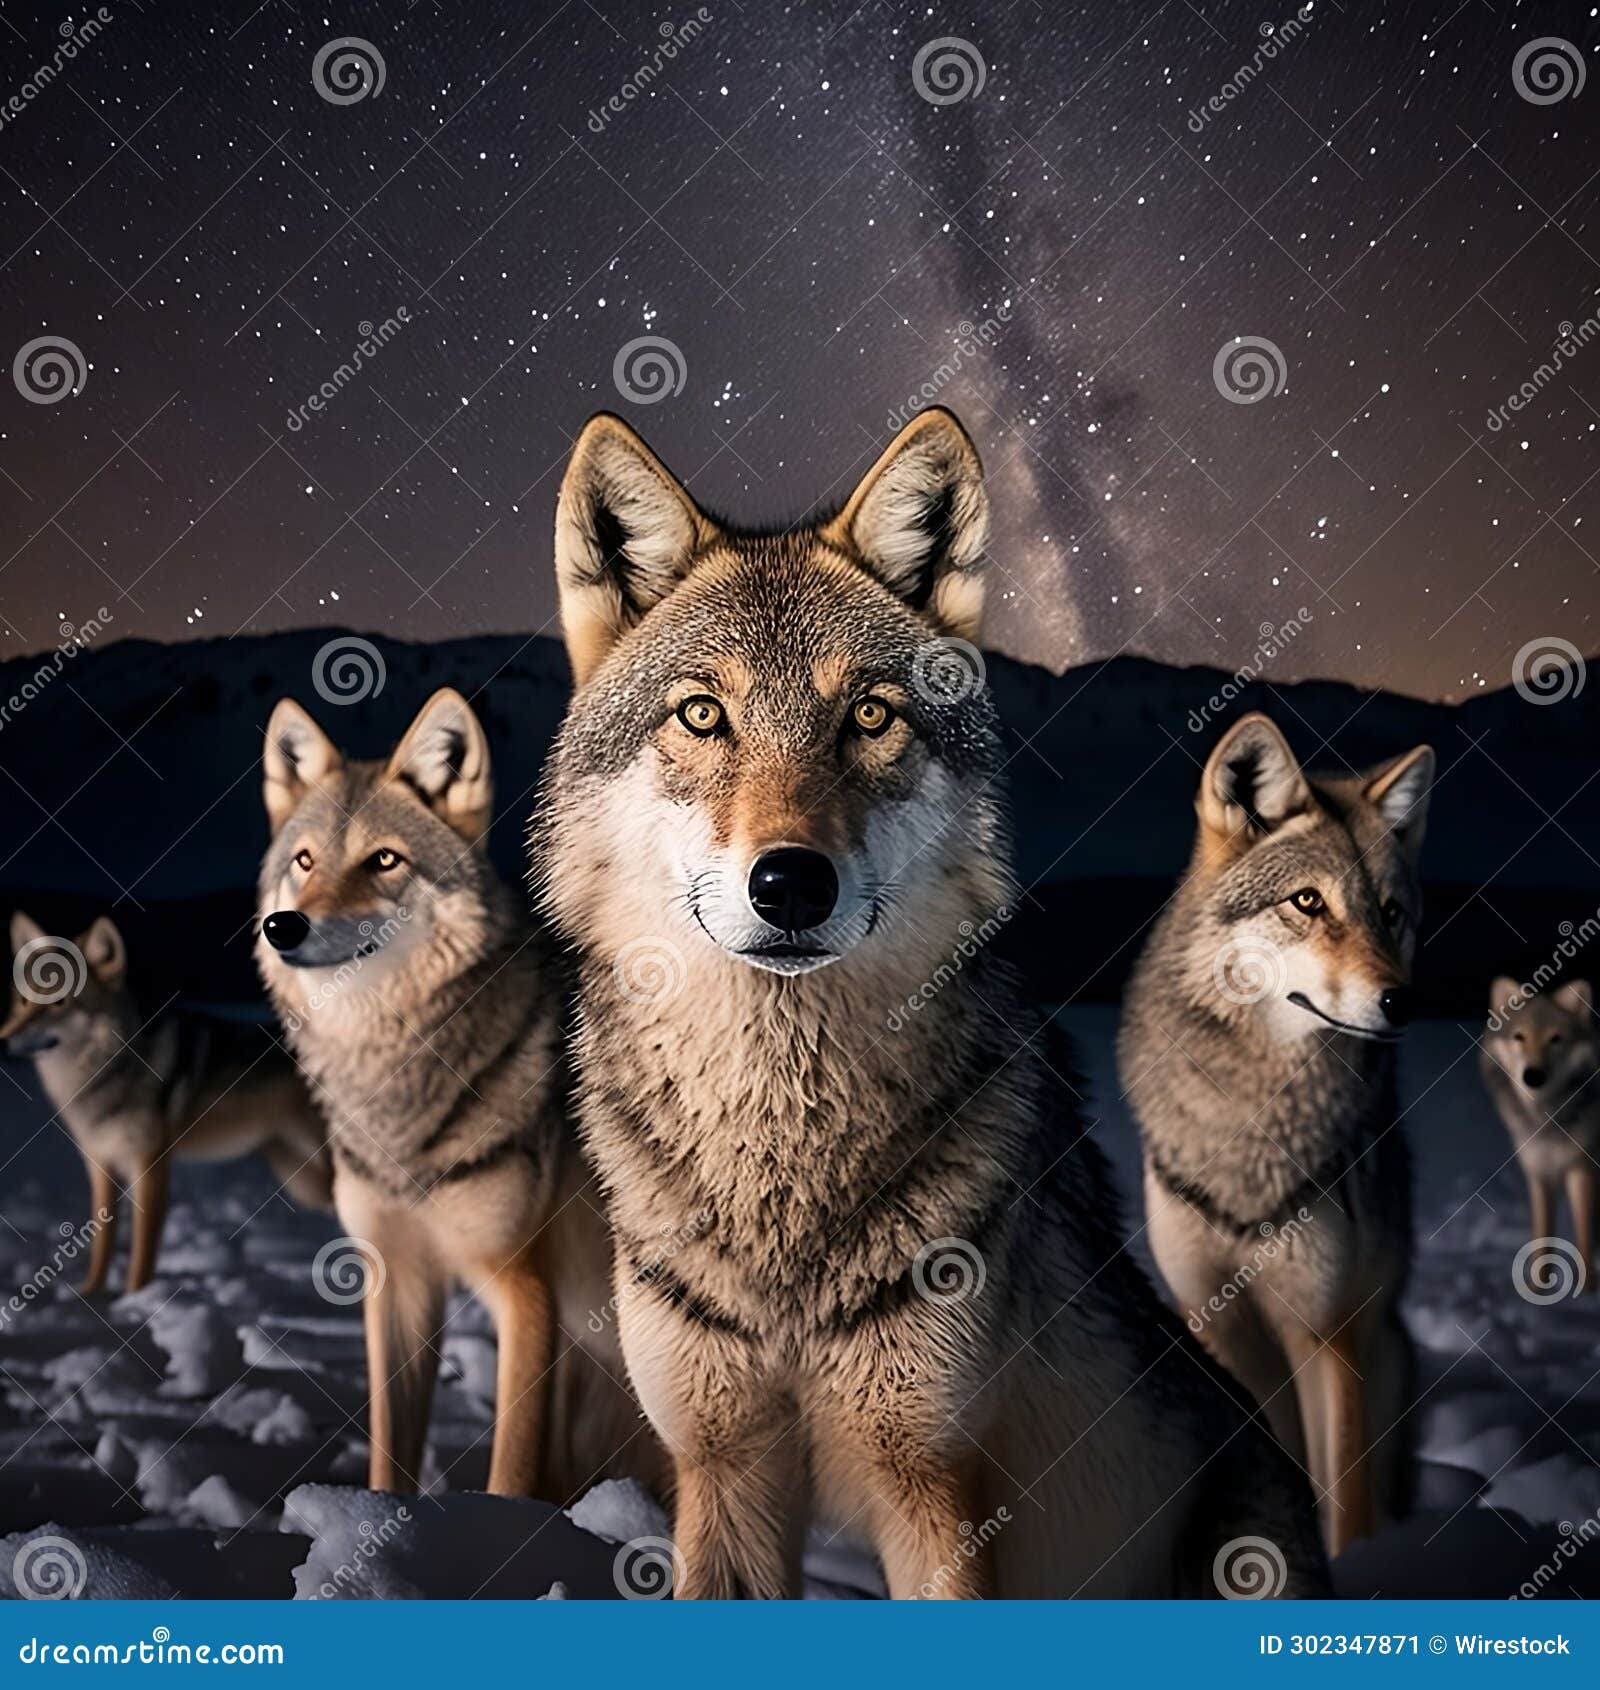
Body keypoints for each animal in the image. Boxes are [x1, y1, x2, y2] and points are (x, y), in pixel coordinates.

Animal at [1, 911, 331, 1293]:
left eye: (59, 1003)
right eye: (23, 1002)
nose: (4, 1039)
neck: (101, 1075)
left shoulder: (149, 1167)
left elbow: (142, 1257)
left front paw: (135, 1301)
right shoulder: (101, 1166)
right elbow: (101, 1247)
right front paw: (91, 1295)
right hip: (300, 1180)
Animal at [255, 687, 664, 1502]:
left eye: (384, 860)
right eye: (304, 861)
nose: (283, 926)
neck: (394, 1090)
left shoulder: (526, 1295)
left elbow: (508, 1472)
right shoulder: (399, 1282)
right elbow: (390, 1456)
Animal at [532, 408, 1328, 1599]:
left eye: (869, 715)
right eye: (702, 714)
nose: (791, 882)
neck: (781, 1172)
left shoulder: (933, 1485)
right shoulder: (721, 1468)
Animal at [1119, 712, 1435, 1556]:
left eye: (1391, 911)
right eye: (1308, 902)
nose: (1403, 1002)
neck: (1248, 1124)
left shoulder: (1329, 1331)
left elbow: (1347, 1505)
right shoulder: (1223, 1326)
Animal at [1481, 978, 1598, 1284]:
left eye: (1555, 1039)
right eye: (1519, 1037)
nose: (1532, 1075)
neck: (1545, 1120)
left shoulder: (1581, 1168)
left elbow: (1585, 1235)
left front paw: (1587, 1291)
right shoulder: (1539, 1170)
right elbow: (1543, 1236)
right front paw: (1539, 1288)